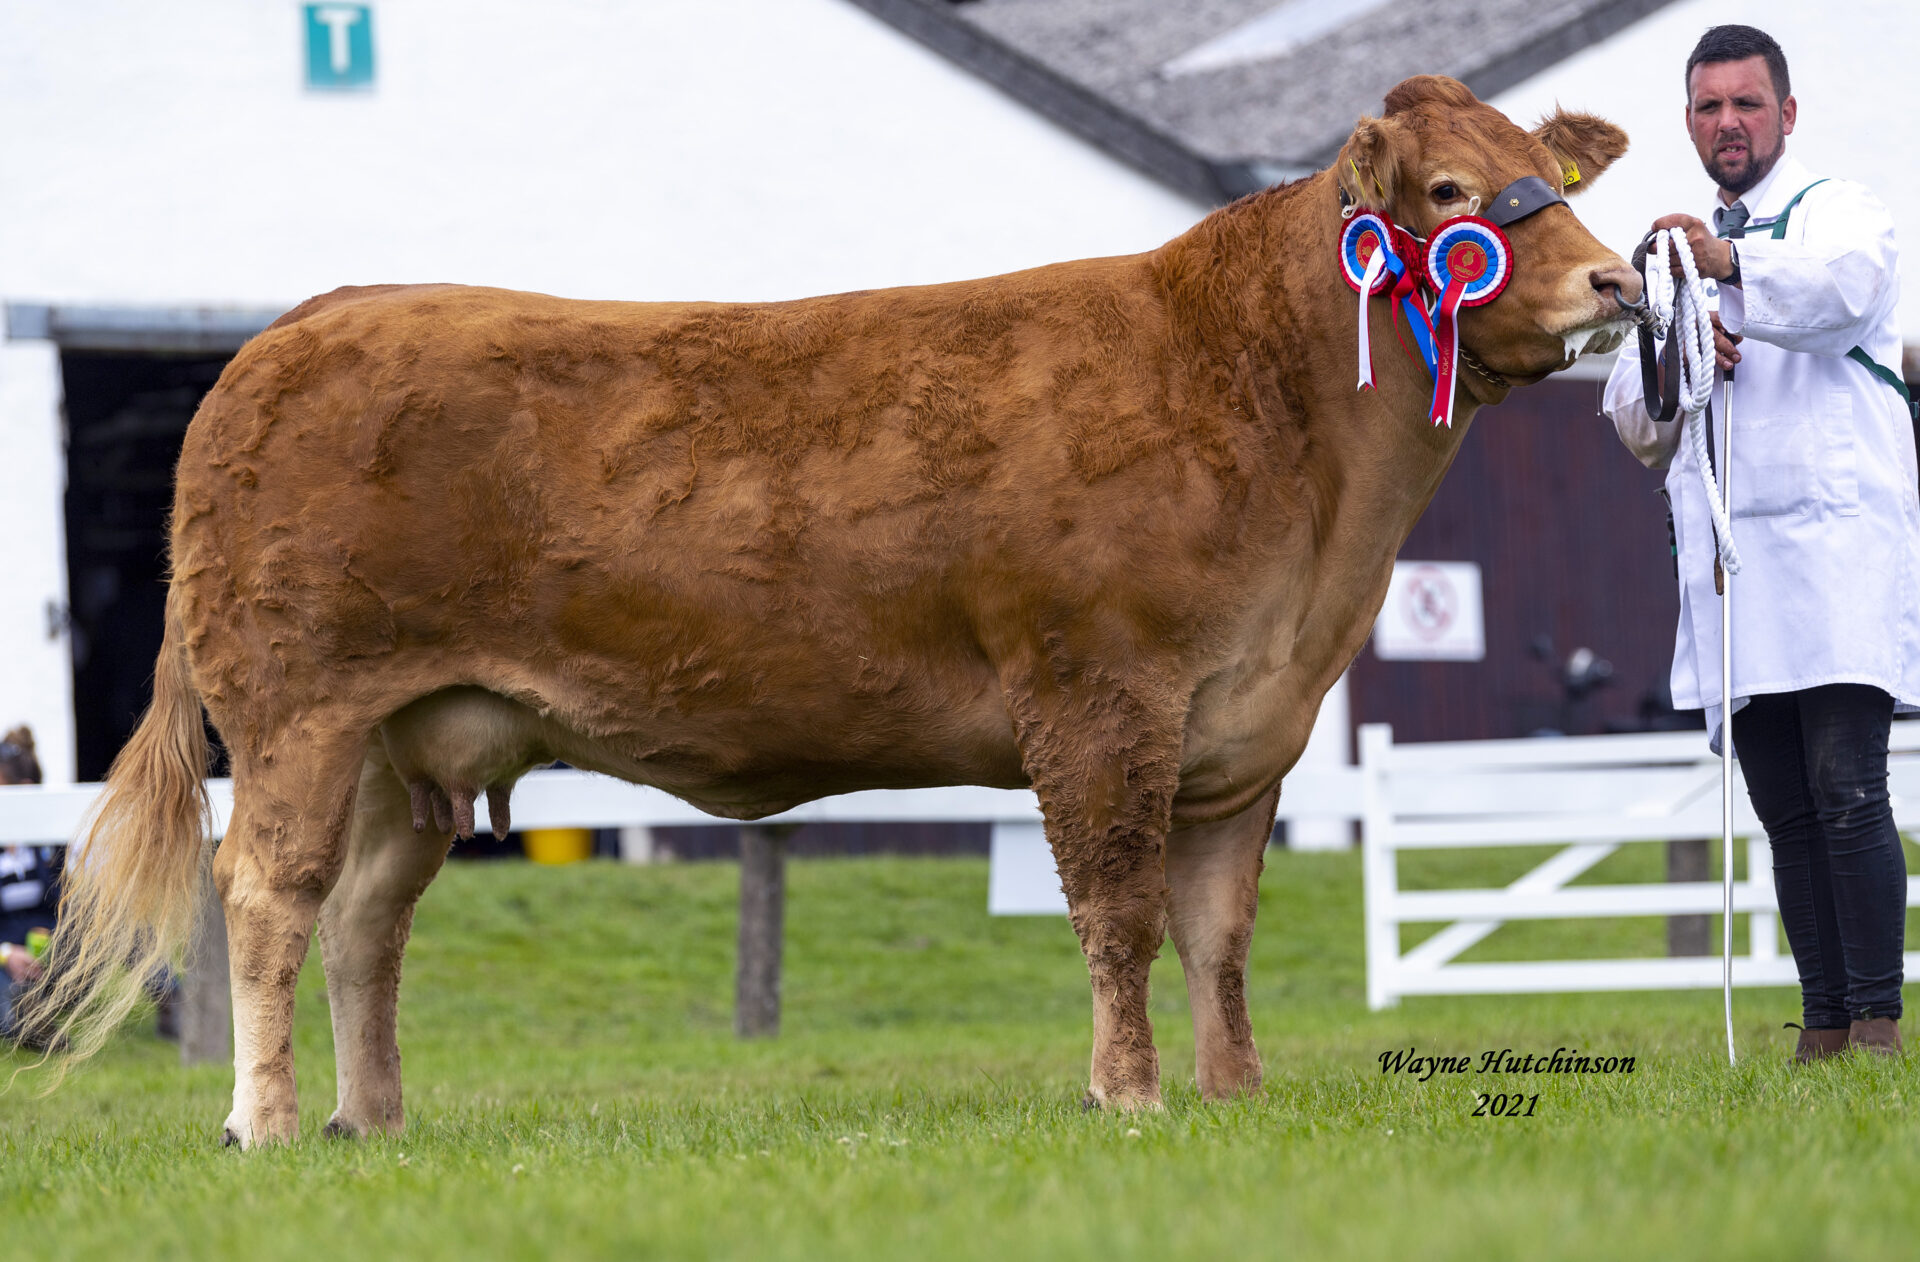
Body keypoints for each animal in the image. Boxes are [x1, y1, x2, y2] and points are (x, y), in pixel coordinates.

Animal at [35, 76, 1638, 1147]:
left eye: (1552, 172)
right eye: (1451, 195)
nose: (1619, 280)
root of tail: (310, 322)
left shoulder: (1249, 731)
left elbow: (1217, 932)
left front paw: (1233, 1093)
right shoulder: (1100, 696)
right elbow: (1119, 913)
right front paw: (1125, 1094)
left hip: (407, 732)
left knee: (367, 917)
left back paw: (373, 1118)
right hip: (299, 708)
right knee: (267, 893)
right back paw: (263, 1119)